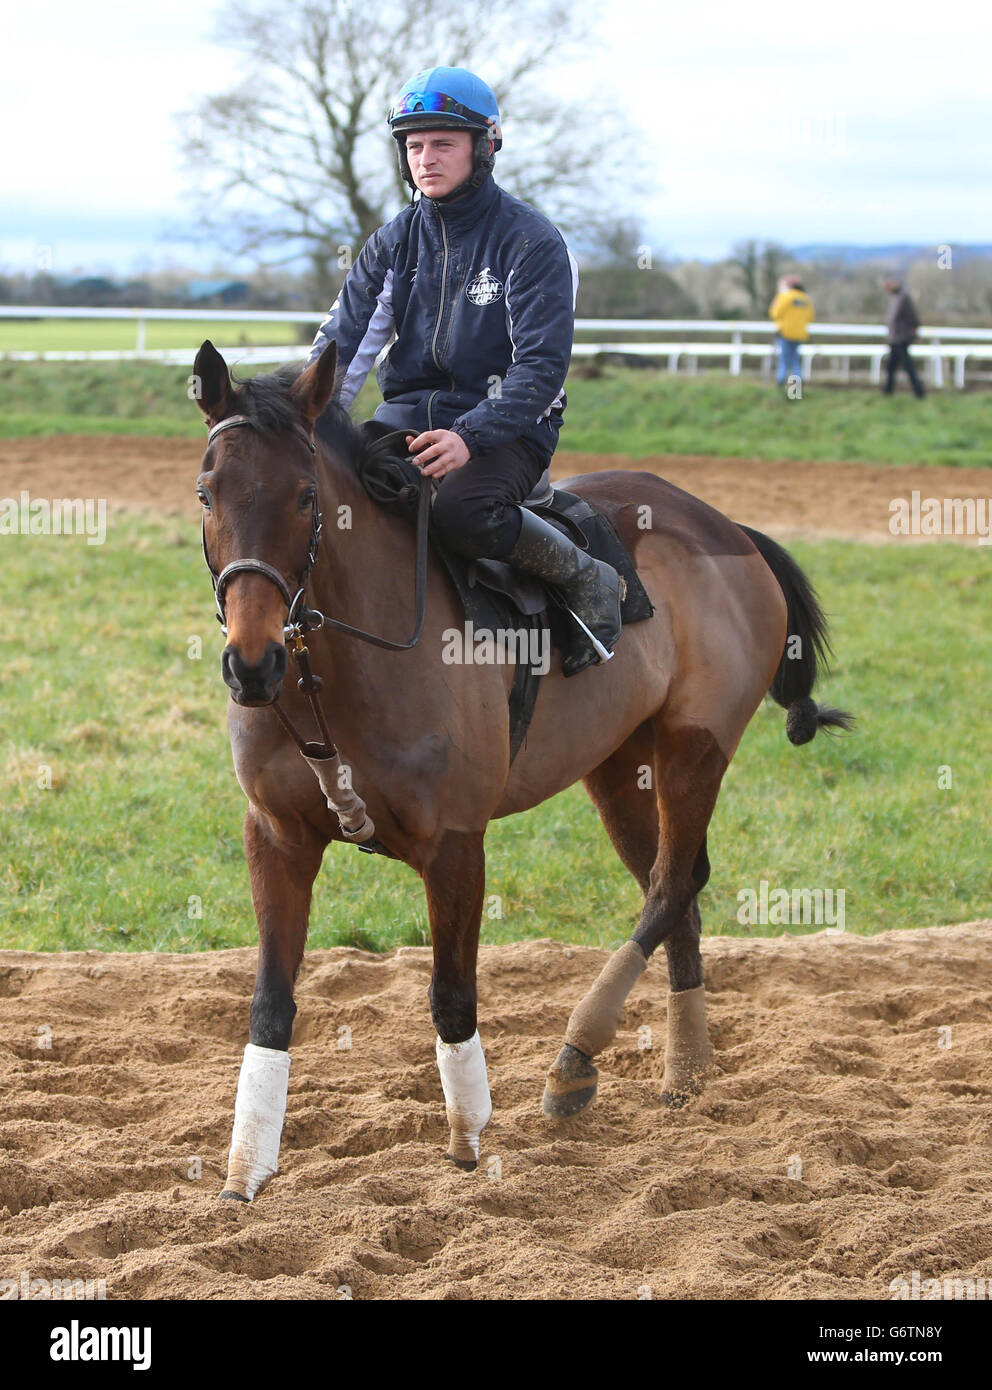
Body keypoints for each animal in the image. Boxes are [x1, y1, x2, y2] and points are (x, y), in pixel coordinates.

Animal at [190, 339, 852, 1200]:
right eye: (207, 492)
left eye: (306, 496)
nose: (252, 662)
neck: (335, 673)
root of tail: (725, 527)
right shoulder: (276, 837)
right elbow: (270, 1003)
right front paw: (246, 1170)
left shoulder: (456, 846)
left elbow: (451, 998)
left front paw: (468, 1141)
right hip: (619, 769)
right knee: (680, 889)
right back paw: (686, 1069)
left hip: (693, 751)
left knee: (671, 884)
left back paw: (576, 1056)